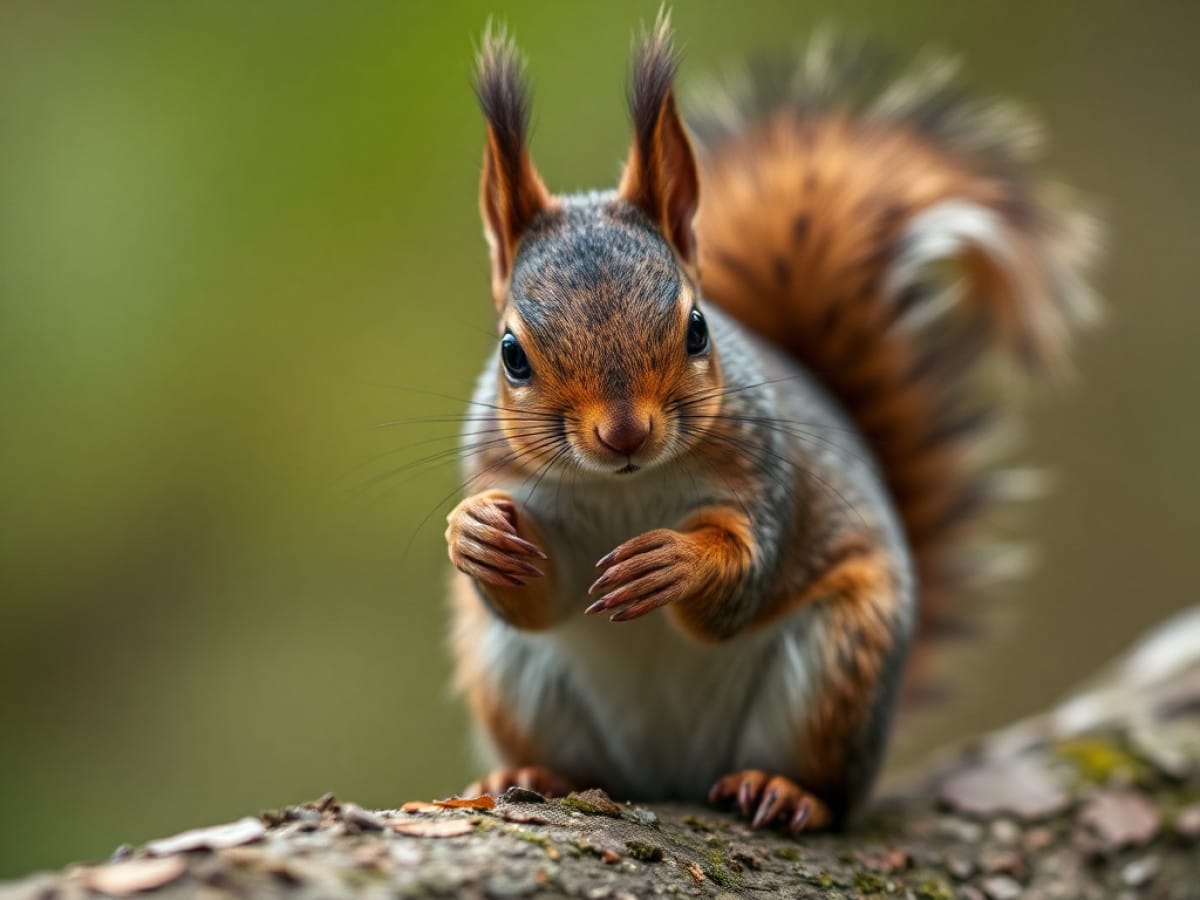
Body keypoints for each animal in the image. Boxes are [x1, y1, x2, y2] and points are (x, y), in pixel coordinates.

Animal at [444, 15, 1098, 832]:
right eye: (512, 355)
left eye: (697, 329)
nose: (624, 435)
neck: (625, 486)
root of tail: (672, 773)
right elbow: (540, 598)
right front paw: (474, 532)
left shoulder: (766, 477)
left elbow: (743, 578)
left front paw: (676, 560)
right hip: (511, 675)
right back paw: (533, 771)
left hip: (839, 662)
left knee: (830, 788)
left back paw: (785, 791)